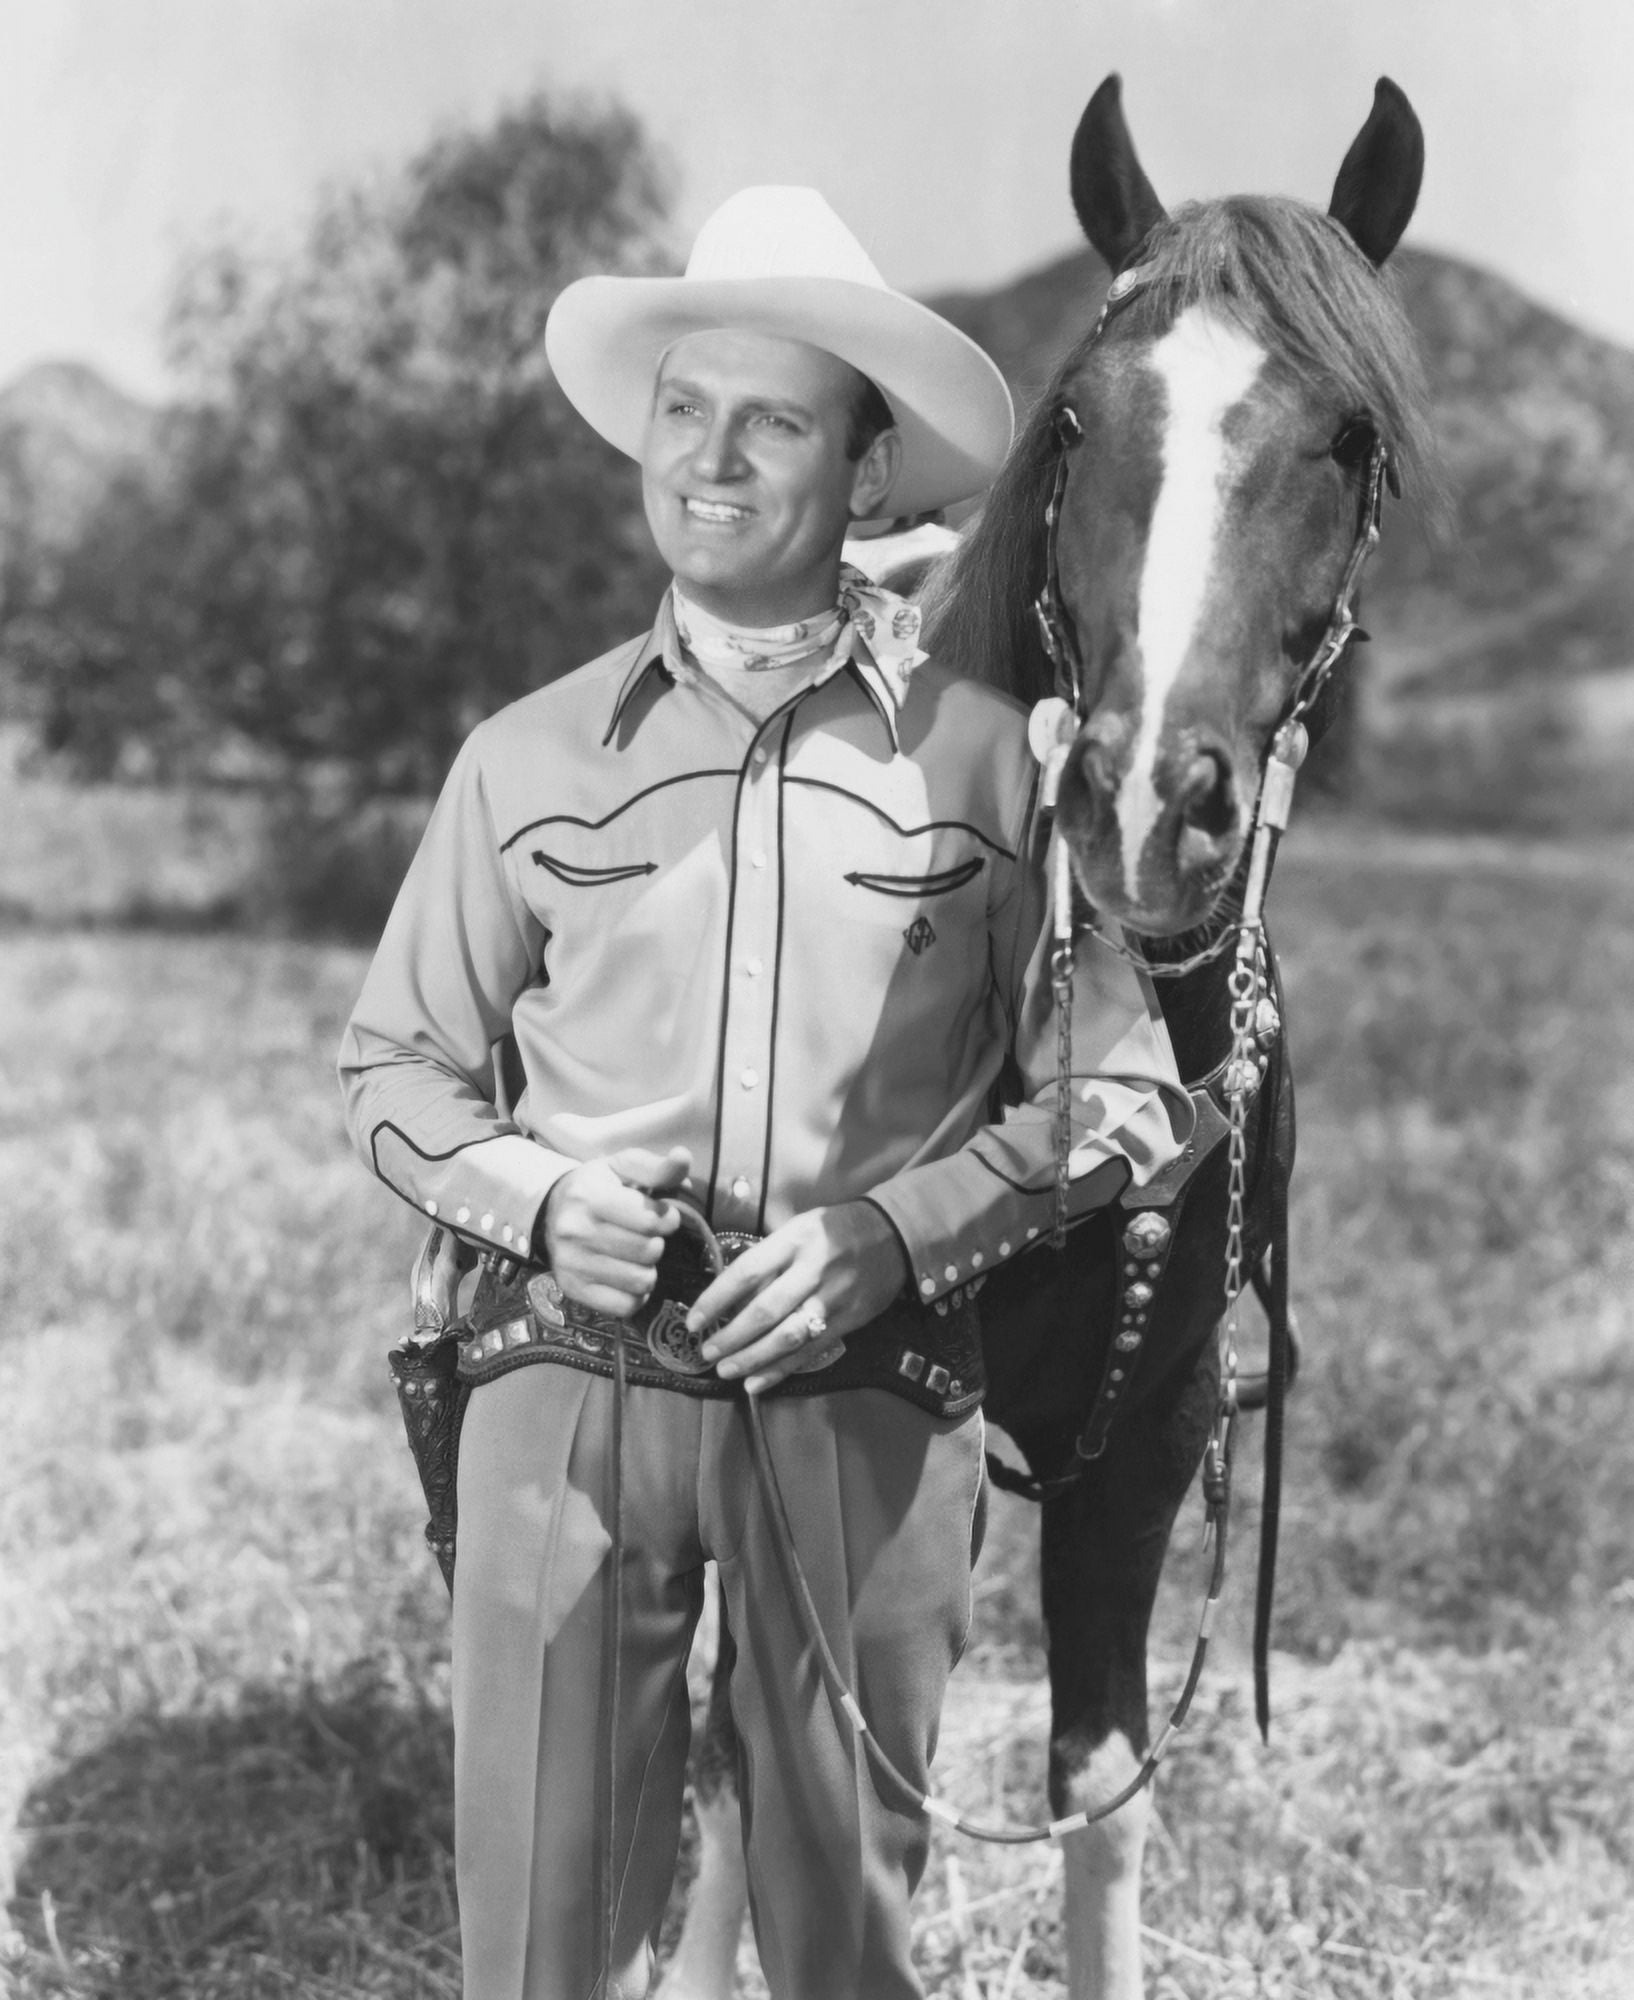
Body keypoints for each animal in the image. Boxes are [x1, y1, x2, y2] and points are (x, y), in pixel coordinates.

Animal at [654, 71, 1431, 2000]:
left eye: (1347, 438)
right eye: (1077, 415)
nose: (1146, 805)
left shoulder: (1143, 1442)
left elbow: (1095, 1783)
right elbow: (761, 1759)